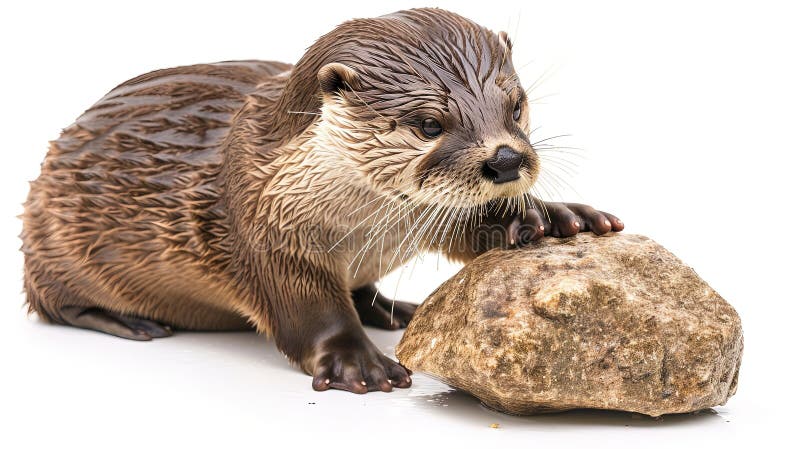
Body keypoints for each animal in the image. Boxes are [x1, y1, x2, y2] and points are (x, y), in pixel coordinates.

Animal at [21, 8, 623, 393]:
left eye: (516, 106)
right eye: (429, 124)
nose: (505, 161)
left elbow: (473, 227)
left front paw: (554, 214)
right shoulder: (262, 224)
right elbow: (305, 306)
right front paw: (357, 362)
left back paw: (392, 309)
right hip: (49, 236)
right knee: (53, 302)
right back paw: (129, 322)